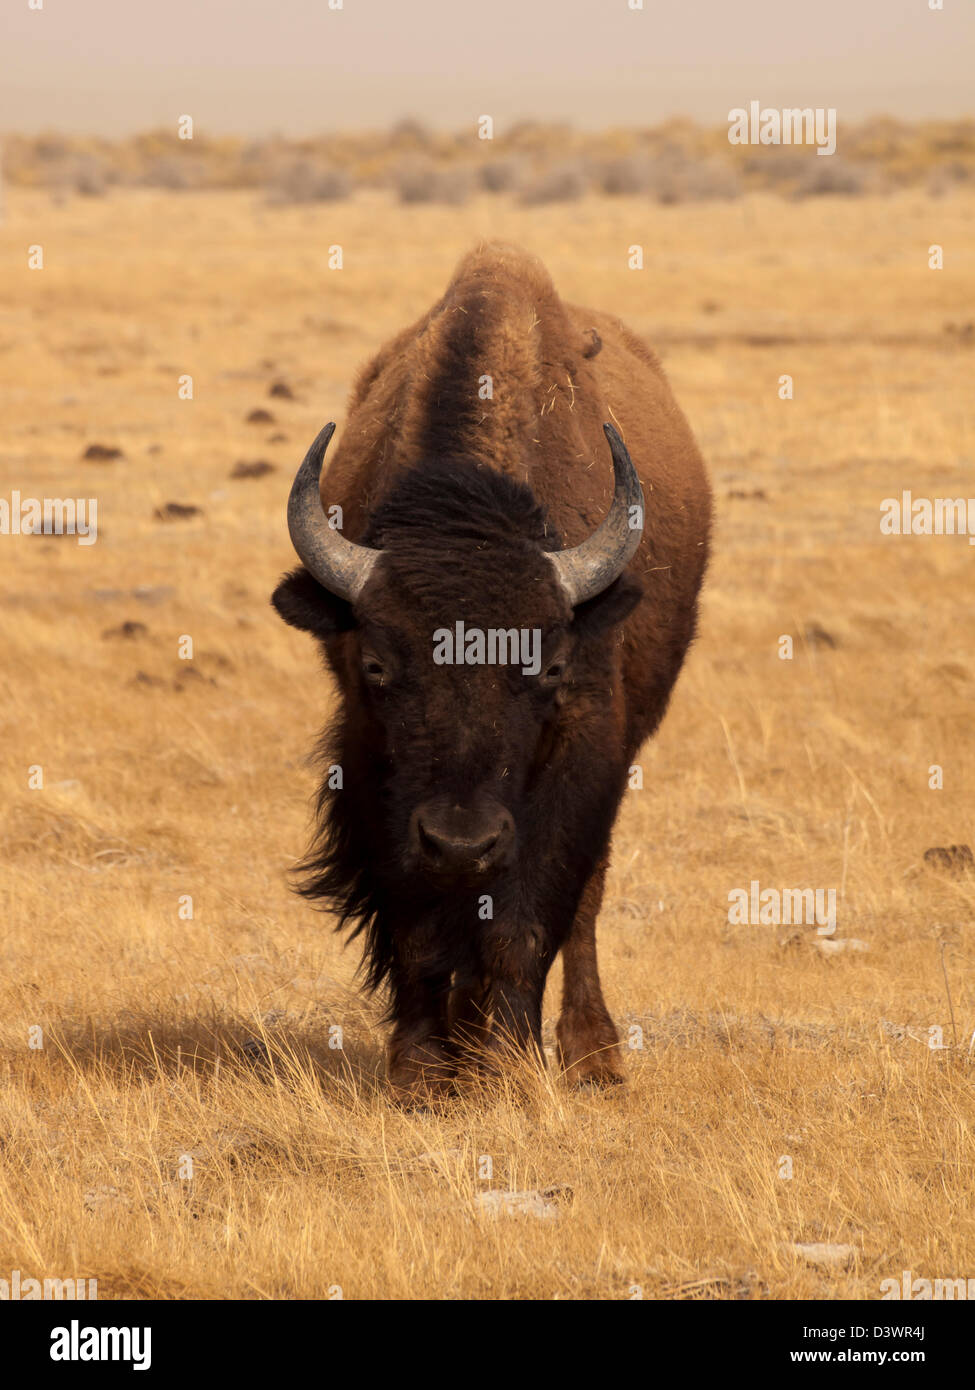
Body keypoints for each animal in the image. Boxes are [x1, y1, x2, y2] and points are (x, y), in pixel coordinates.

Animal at [272, 242, 711, 1101]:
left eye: (549, 667)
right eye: (376, 663)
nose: (461, 839)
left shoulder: (582, 756)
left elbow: (527, 920)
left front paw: (506, 1070)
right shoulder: (373, 767)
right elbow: (415, 923)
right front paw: (420, 1074)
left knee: (583, 901)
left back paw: (589, 1056)